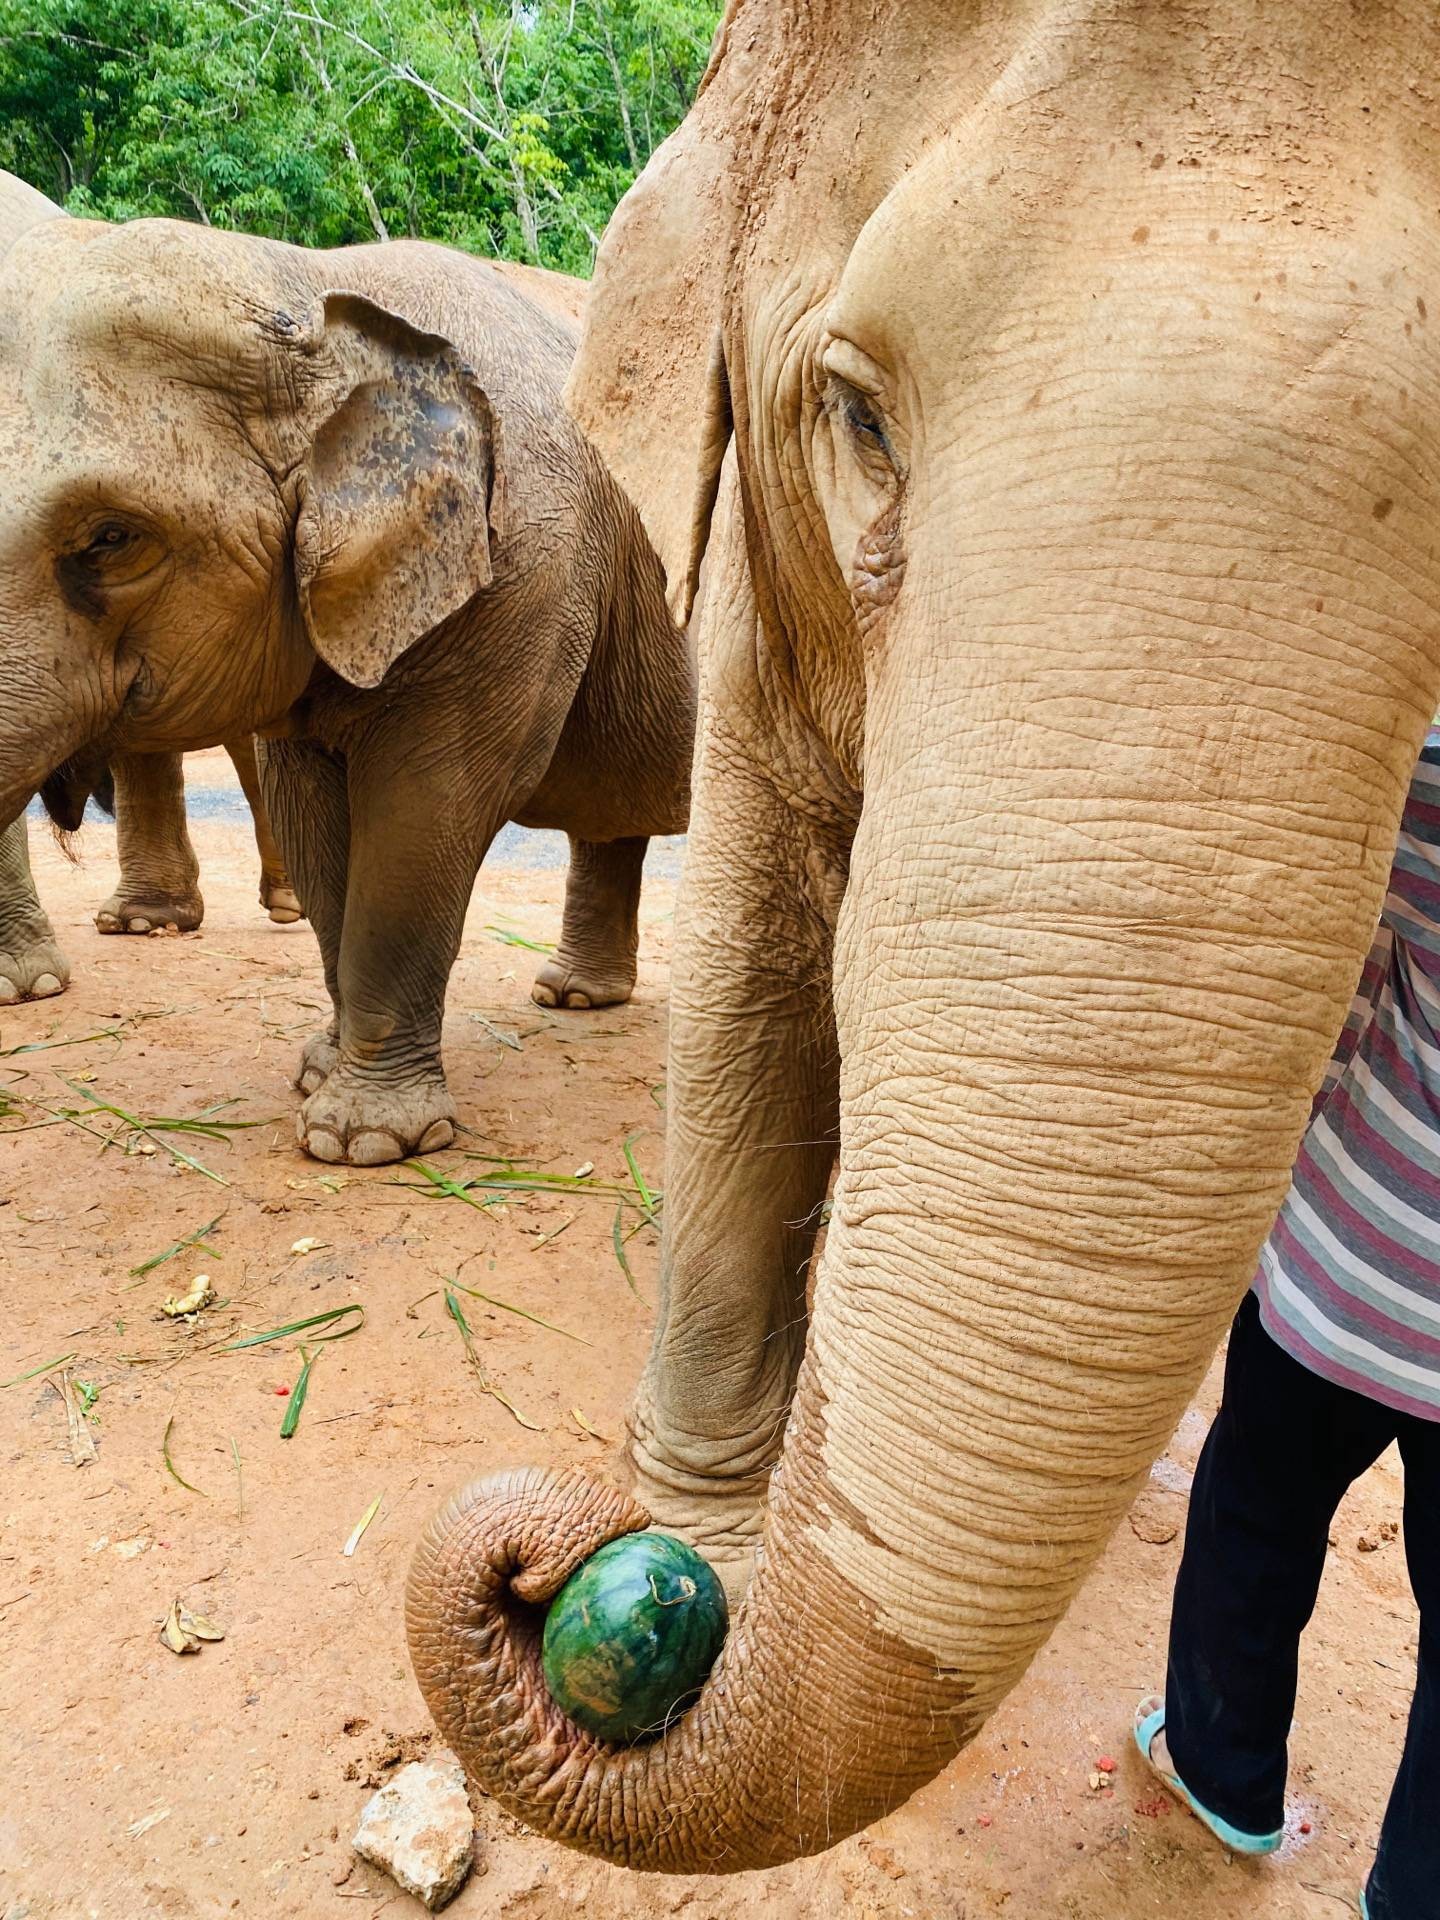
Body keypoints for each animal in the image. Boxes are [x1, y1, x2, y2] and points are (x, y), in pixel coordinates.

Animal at [0, 173, 694, 1163]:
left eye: (109, 539)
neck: (301, 287)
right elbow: (313, 811)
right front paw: (318, 1074)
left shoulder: (523, 571)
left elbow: (426, 806)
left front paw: (365, 1142)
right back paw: (574, 998)